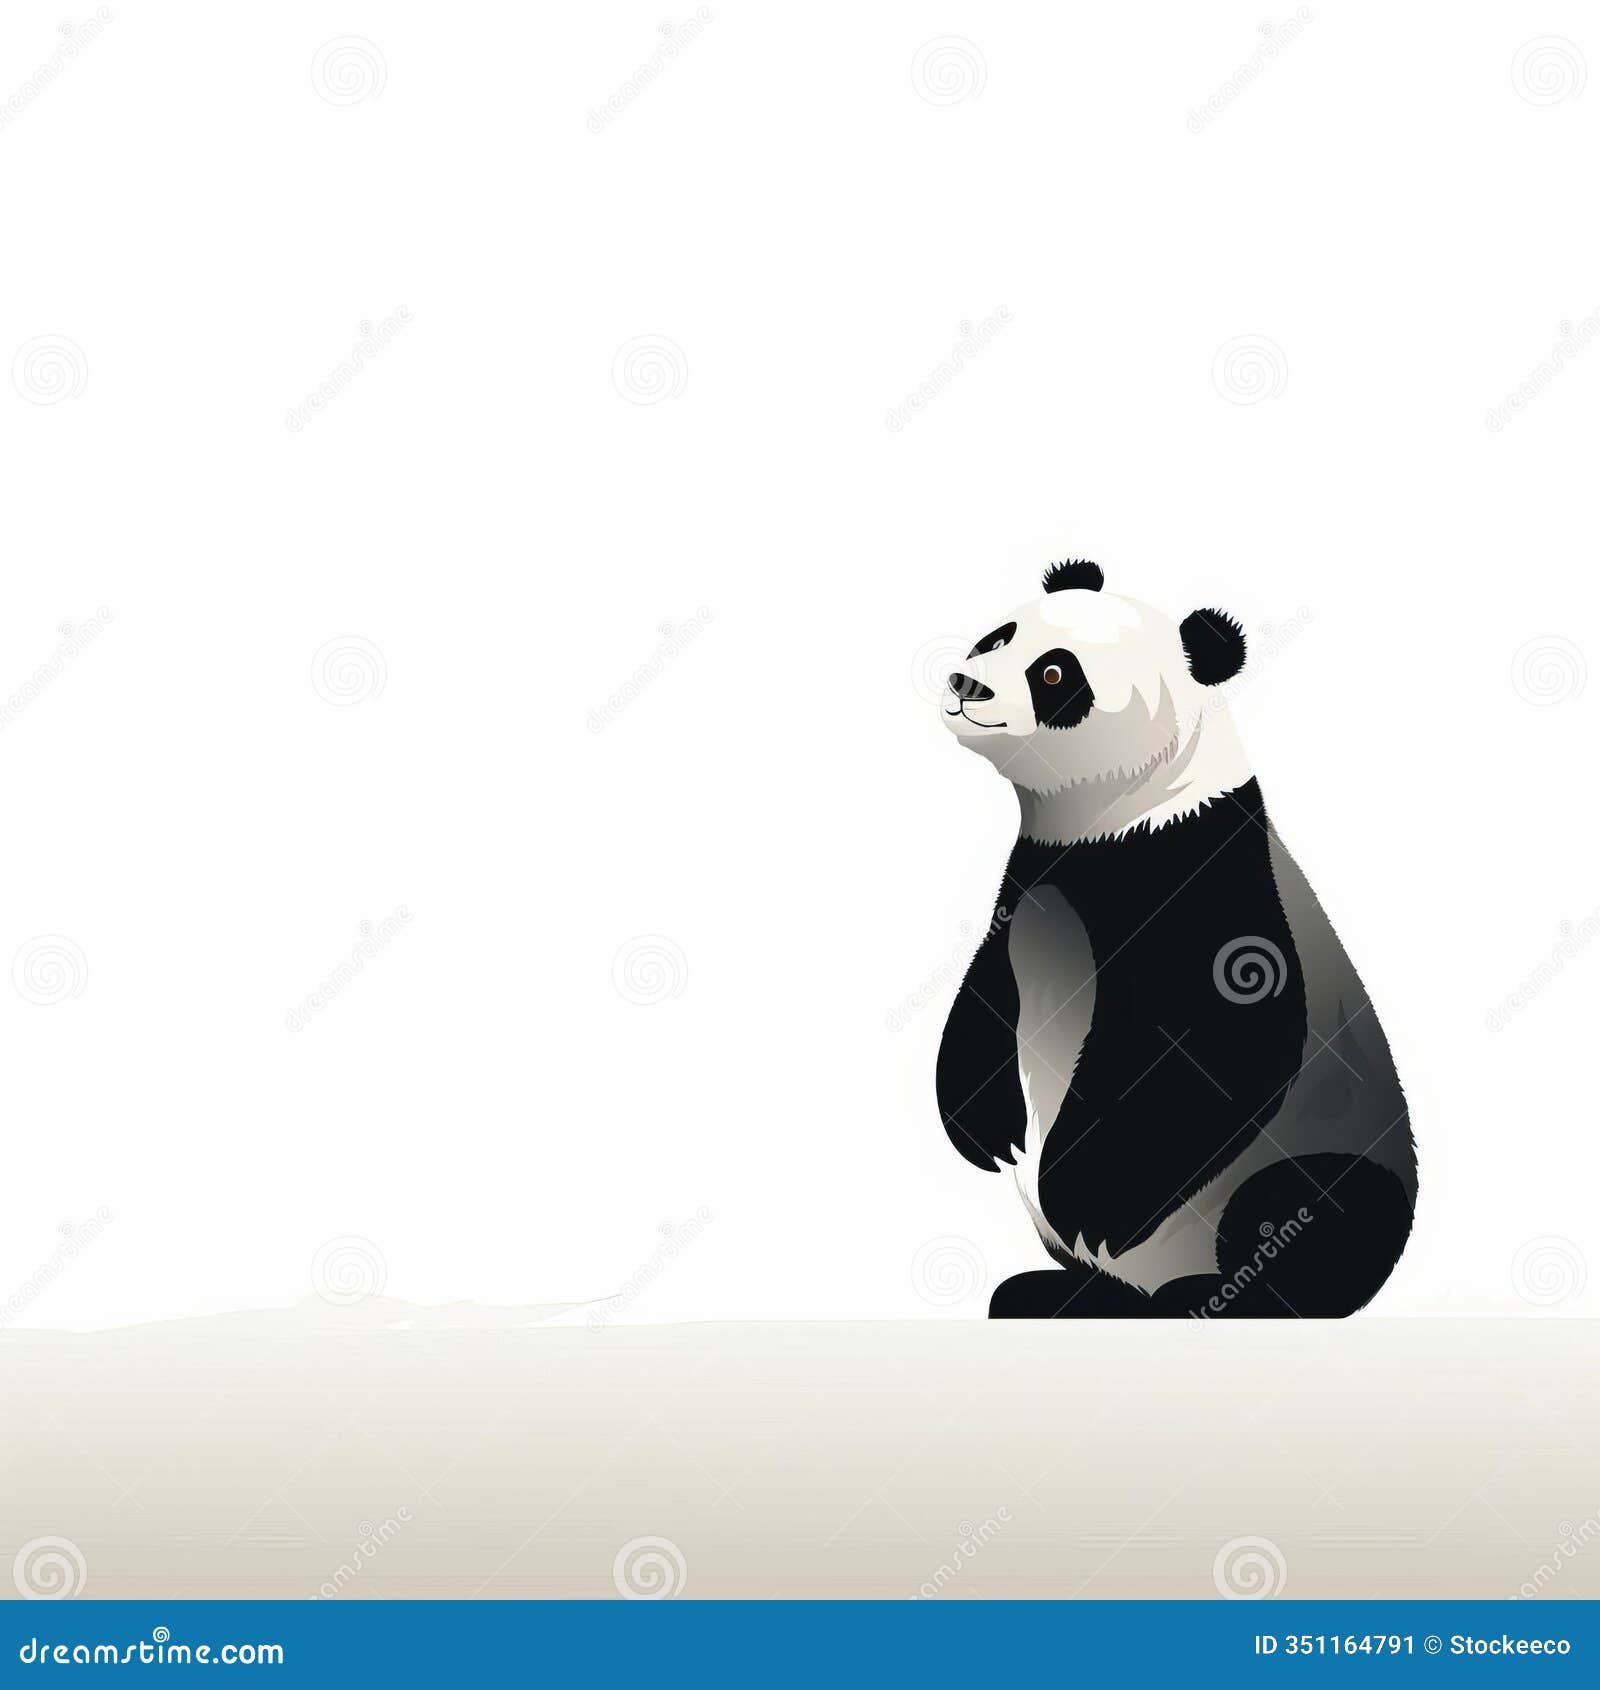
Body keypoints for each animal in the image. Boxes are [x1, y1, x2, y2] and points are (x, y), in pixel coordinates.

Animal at [936, 559, 1416, 1319]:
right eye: (997, 636)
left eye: (1055, 674)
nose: (966, 684)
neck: (1113, 822)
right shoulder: (1027, 885)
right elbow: (984, 990)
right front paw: (986, 1130)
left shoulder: (1200, 879)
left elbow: (1216, 1048)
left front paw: (1088, 1198)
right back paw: (1055, 1295)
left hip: (1305, 1161)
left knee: (1315, 1208)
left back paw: (1207, 1297)